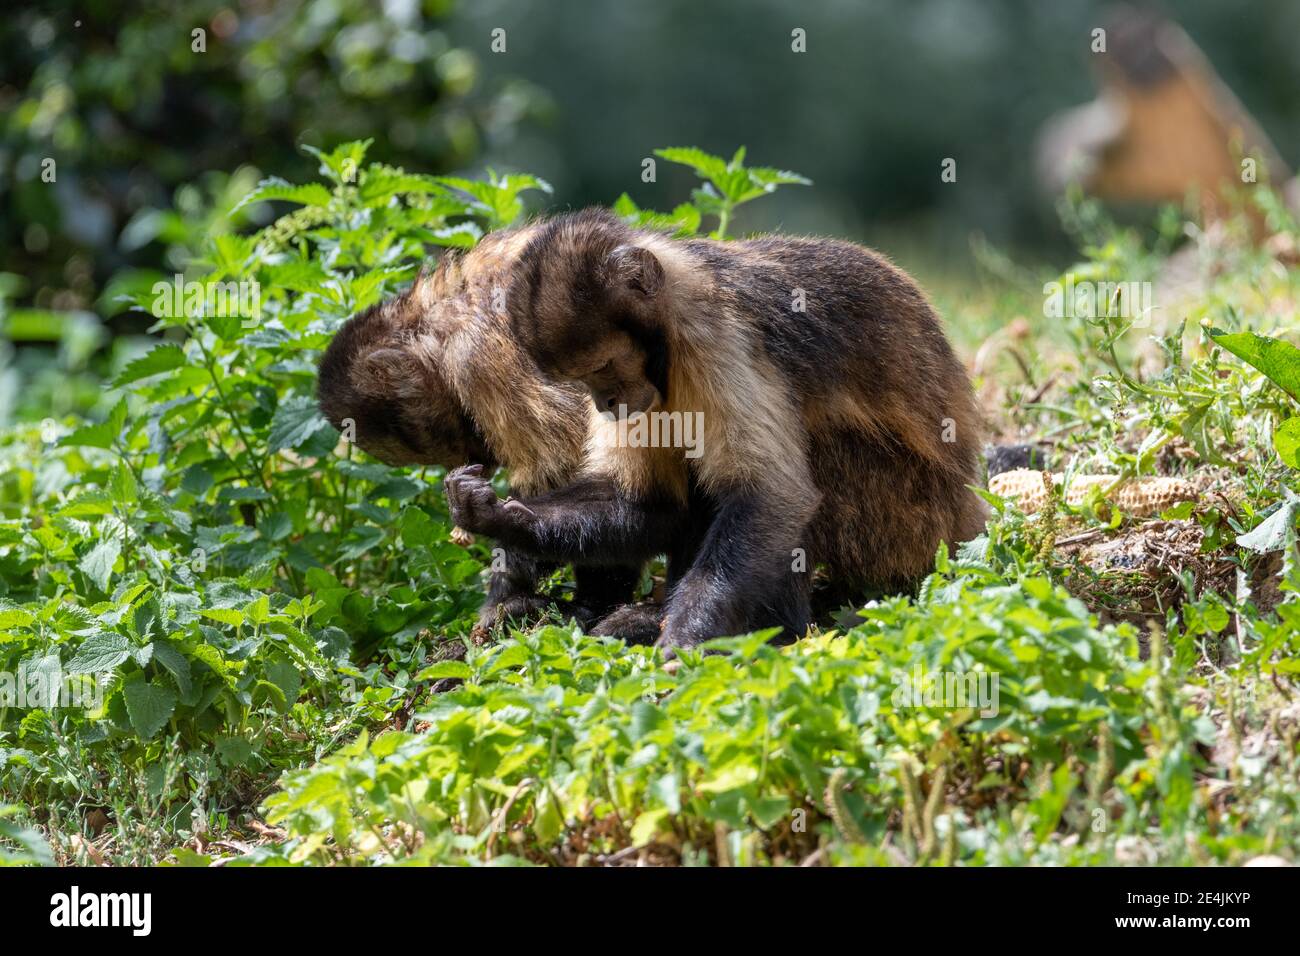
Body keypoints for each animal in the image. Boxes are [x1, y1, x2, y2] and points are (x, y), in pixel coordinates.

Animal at [316, 229, 661, 642]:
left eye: (439, 437)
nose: (471, 457)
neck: (440, 314)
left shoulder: (476, 353)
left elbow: (561, 462)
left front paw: (502, 595)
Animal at [442, 208, 988, 652]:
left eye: (602, 367)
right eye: (583, 379)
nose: (605, 403)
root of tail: (968, 516)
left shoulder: (715, 337)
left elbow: (771, 494)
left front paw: (688, 634)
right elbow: (647, 503)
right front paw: (496, 515)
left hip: (910, 525)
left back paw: (774, 630)